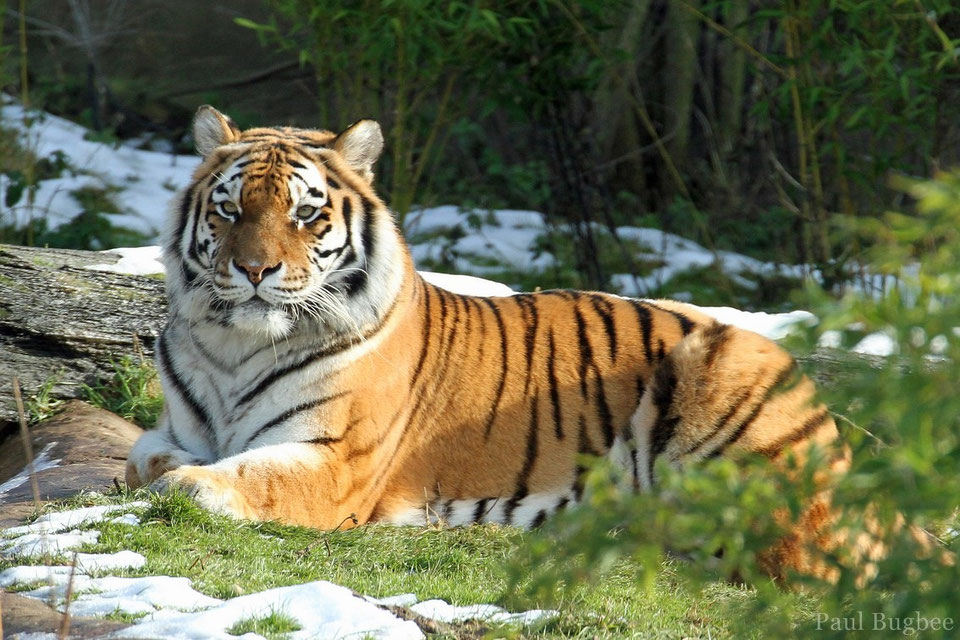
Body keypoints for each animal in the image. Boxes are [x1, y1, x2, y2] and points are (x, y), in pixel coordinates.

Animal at [125, 106, 848, 581]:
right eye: (229, 209)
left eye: (305, 212)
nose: (254, 270)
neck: (235, 345)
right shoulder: (181, 427)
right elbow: (142, 455)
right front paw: (160, 470)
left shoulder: (334, 462)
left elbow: (237, 477)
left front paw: (183, 483)